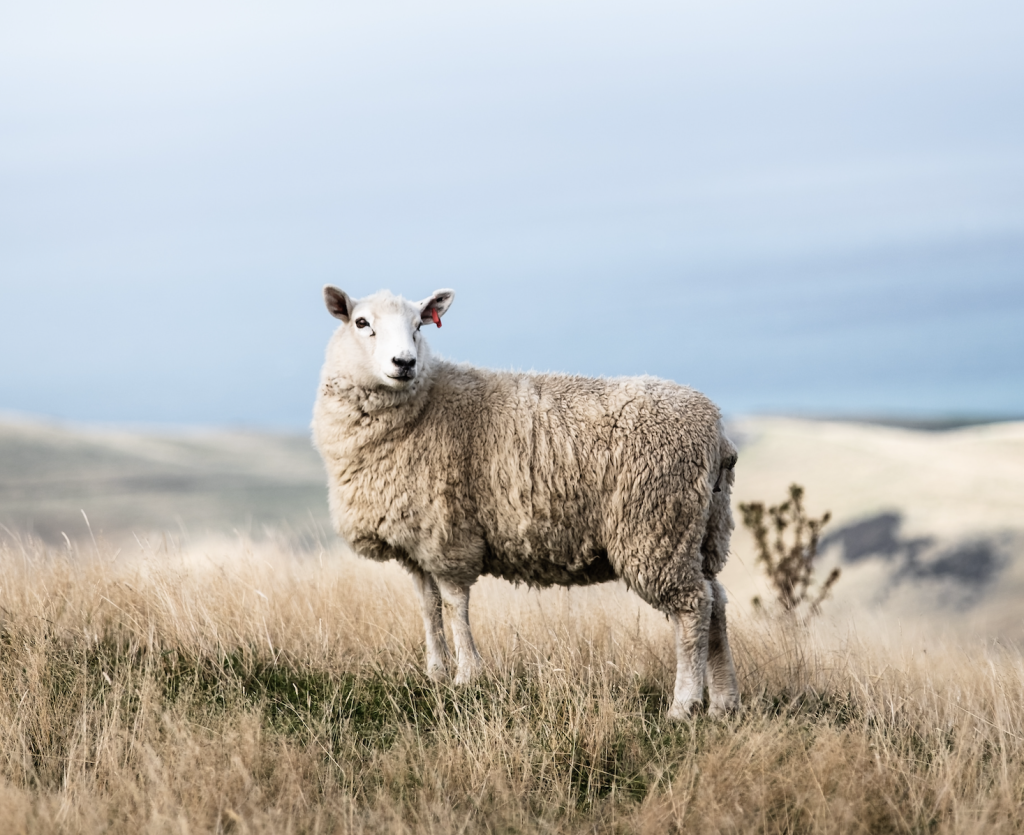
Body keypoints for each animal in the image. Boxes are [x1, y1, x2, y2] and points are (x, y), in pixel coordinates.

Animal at [312, 286, 740, 719]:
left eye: (419, 325)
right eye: (361, 323)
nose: (405, 363)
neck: (426, 403)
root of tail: (717, 432)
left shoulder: (449, 535)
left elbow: (454, 605)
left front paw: (467, 676)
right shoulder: (416, 542)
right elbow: (428, 607)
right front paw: (435, 673)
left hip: (656, 526)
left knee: (692, 607)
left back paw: (684, 705)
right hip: (701, 530)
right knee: (716, 601)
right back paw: (723, 702)